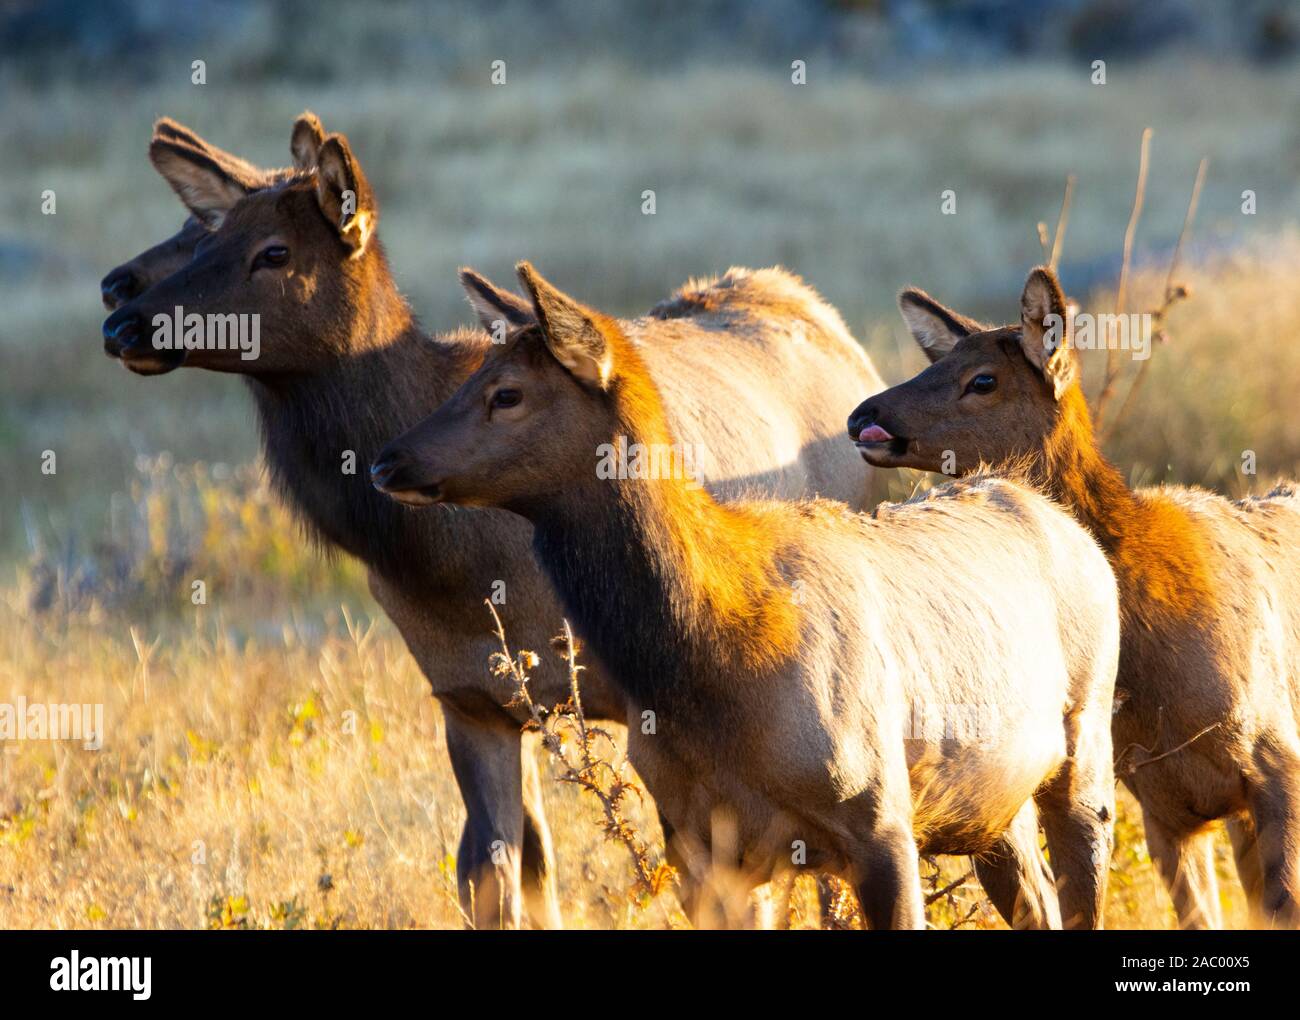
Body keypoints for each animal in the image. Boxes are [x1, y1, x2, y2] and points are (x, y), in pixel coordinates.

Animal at [98, 119, 890, 928]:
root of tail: (825, 318)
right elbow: (499, 874)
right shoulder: (469, 699)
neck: (452, 564)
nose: (121, 314)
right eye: (206, 236)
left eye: (274, 251)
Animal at [370, 261, 1122, 929]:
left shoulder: (882, 819)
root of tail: (1053, 510)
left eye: (506, 393)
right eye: (471, 373)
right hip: (993, 806)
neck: (716, 660)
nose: (385, 459)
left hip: (1086, 753)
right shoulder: (704, 846)